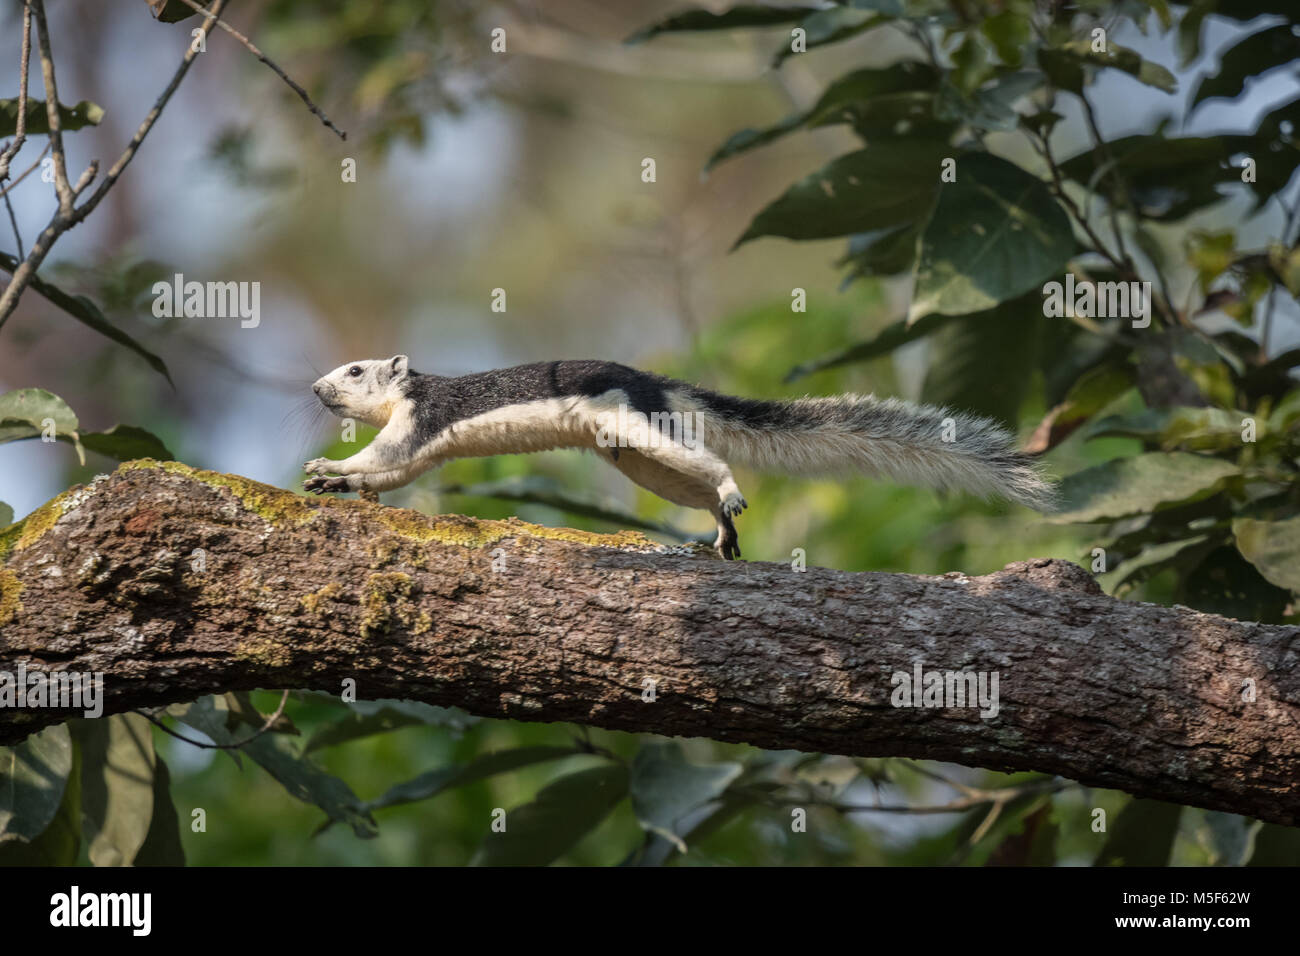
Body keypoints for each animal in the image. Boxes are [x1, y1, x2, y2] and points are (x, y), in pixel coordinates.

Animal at [303, 356, 1054, 559]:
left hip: (636, 424)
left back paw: (728, 494)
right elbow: (394, 471)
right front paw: (342, 487)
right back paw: (720, 530)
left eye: (355, 371)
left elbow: (383, 455)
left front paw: (330, 471)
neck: (411, 390)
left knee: (712, 467)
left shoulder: (418, 420)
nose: (314, 388)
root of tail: (658, 382)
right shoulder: (418, 447)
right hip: (637, 459)